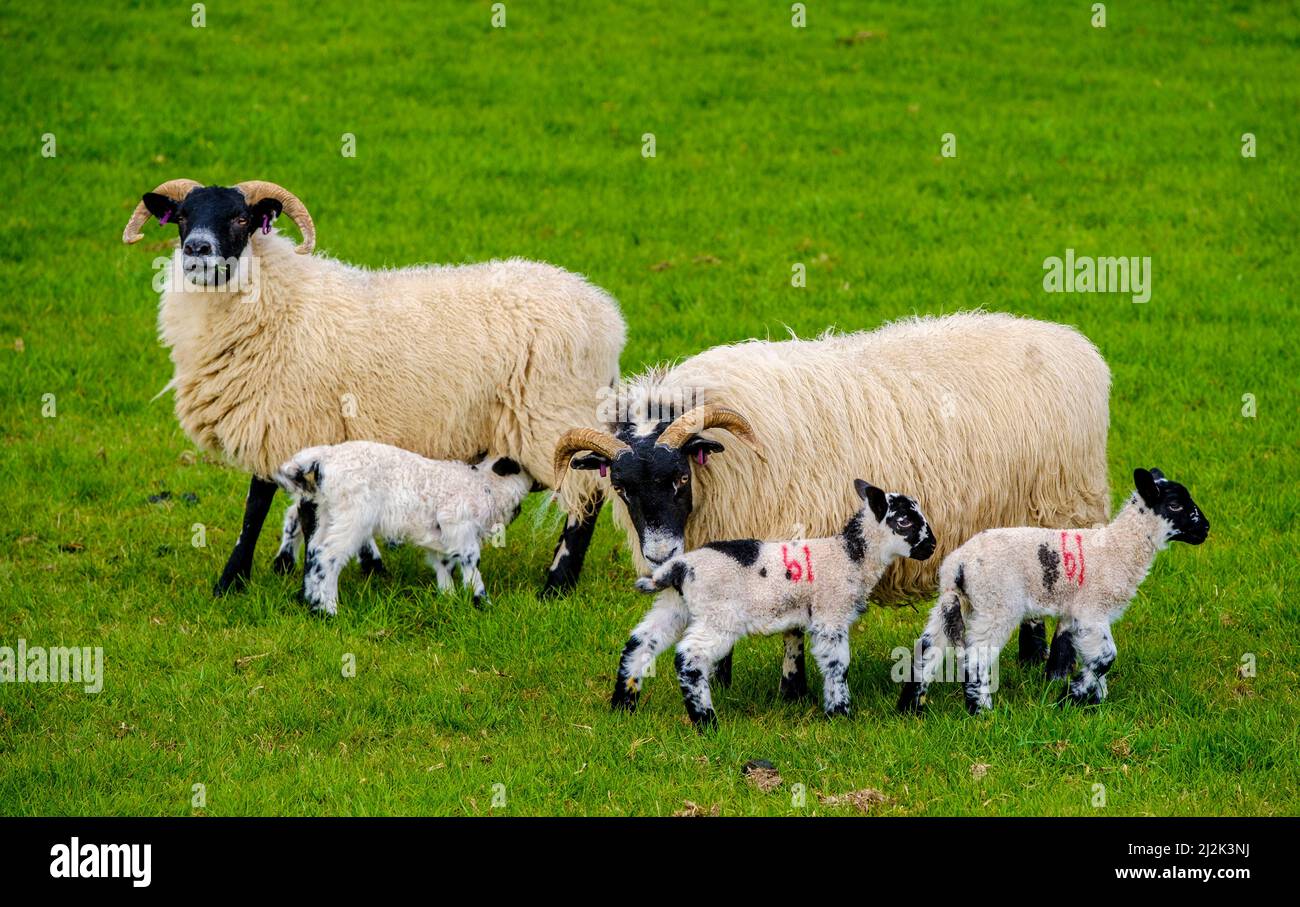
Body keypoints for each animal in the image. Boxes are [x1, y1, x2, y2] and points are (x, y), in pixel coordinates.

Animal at [273, 442, 535, 614]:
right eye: (523, 468)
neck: (484, 486)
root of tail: (326, 456)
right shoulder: (459, 527)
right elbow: (471, 565)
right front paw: (482, 601)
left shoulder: (442, 537)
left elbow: (444, 565)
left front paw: (448, 598)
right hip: (353, 517)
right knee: (327, 557)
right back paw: (328, 610)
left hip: (329, 513)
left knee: (315, 549)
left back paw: (312, 601)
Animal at [552, 311, 1112, 697]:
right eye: (621, 486)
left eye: (678, 477)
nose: (659, 553)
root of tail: (1074, 344)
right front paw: (724, 677)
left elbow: (794, 628)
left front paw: (792, 690)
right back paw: (1031, 658)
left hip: (1067, 505)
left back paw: (1056, 668)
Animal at [622, 480, 935, 727]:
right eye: (905, 521)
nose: (931, 546)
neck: (850, 555)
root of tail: (681, 566)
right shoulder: (830, 616)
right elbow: (838, 665)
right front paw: (840, 713)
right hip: (718, 615)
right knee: (688, 657)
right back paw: (706, 722)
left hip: (674, 606)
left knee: (640, 640)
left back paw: (623, 704)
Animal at [897, 468, 1208, 714]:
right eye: (1175, 505)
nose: (1205, 529)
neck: (1117, 548)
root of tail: (957, 566)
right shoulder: (1092, 609)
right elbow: (1106, 657)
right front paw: (1071, 698)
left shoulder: (1079, 614)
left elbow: (1076, 654)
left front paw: (1090, 699)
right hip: (997, 603)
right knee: (977, 656)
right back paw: (981, 711)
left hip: (954, 603)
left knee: (927, 648)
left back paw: (911, 708)